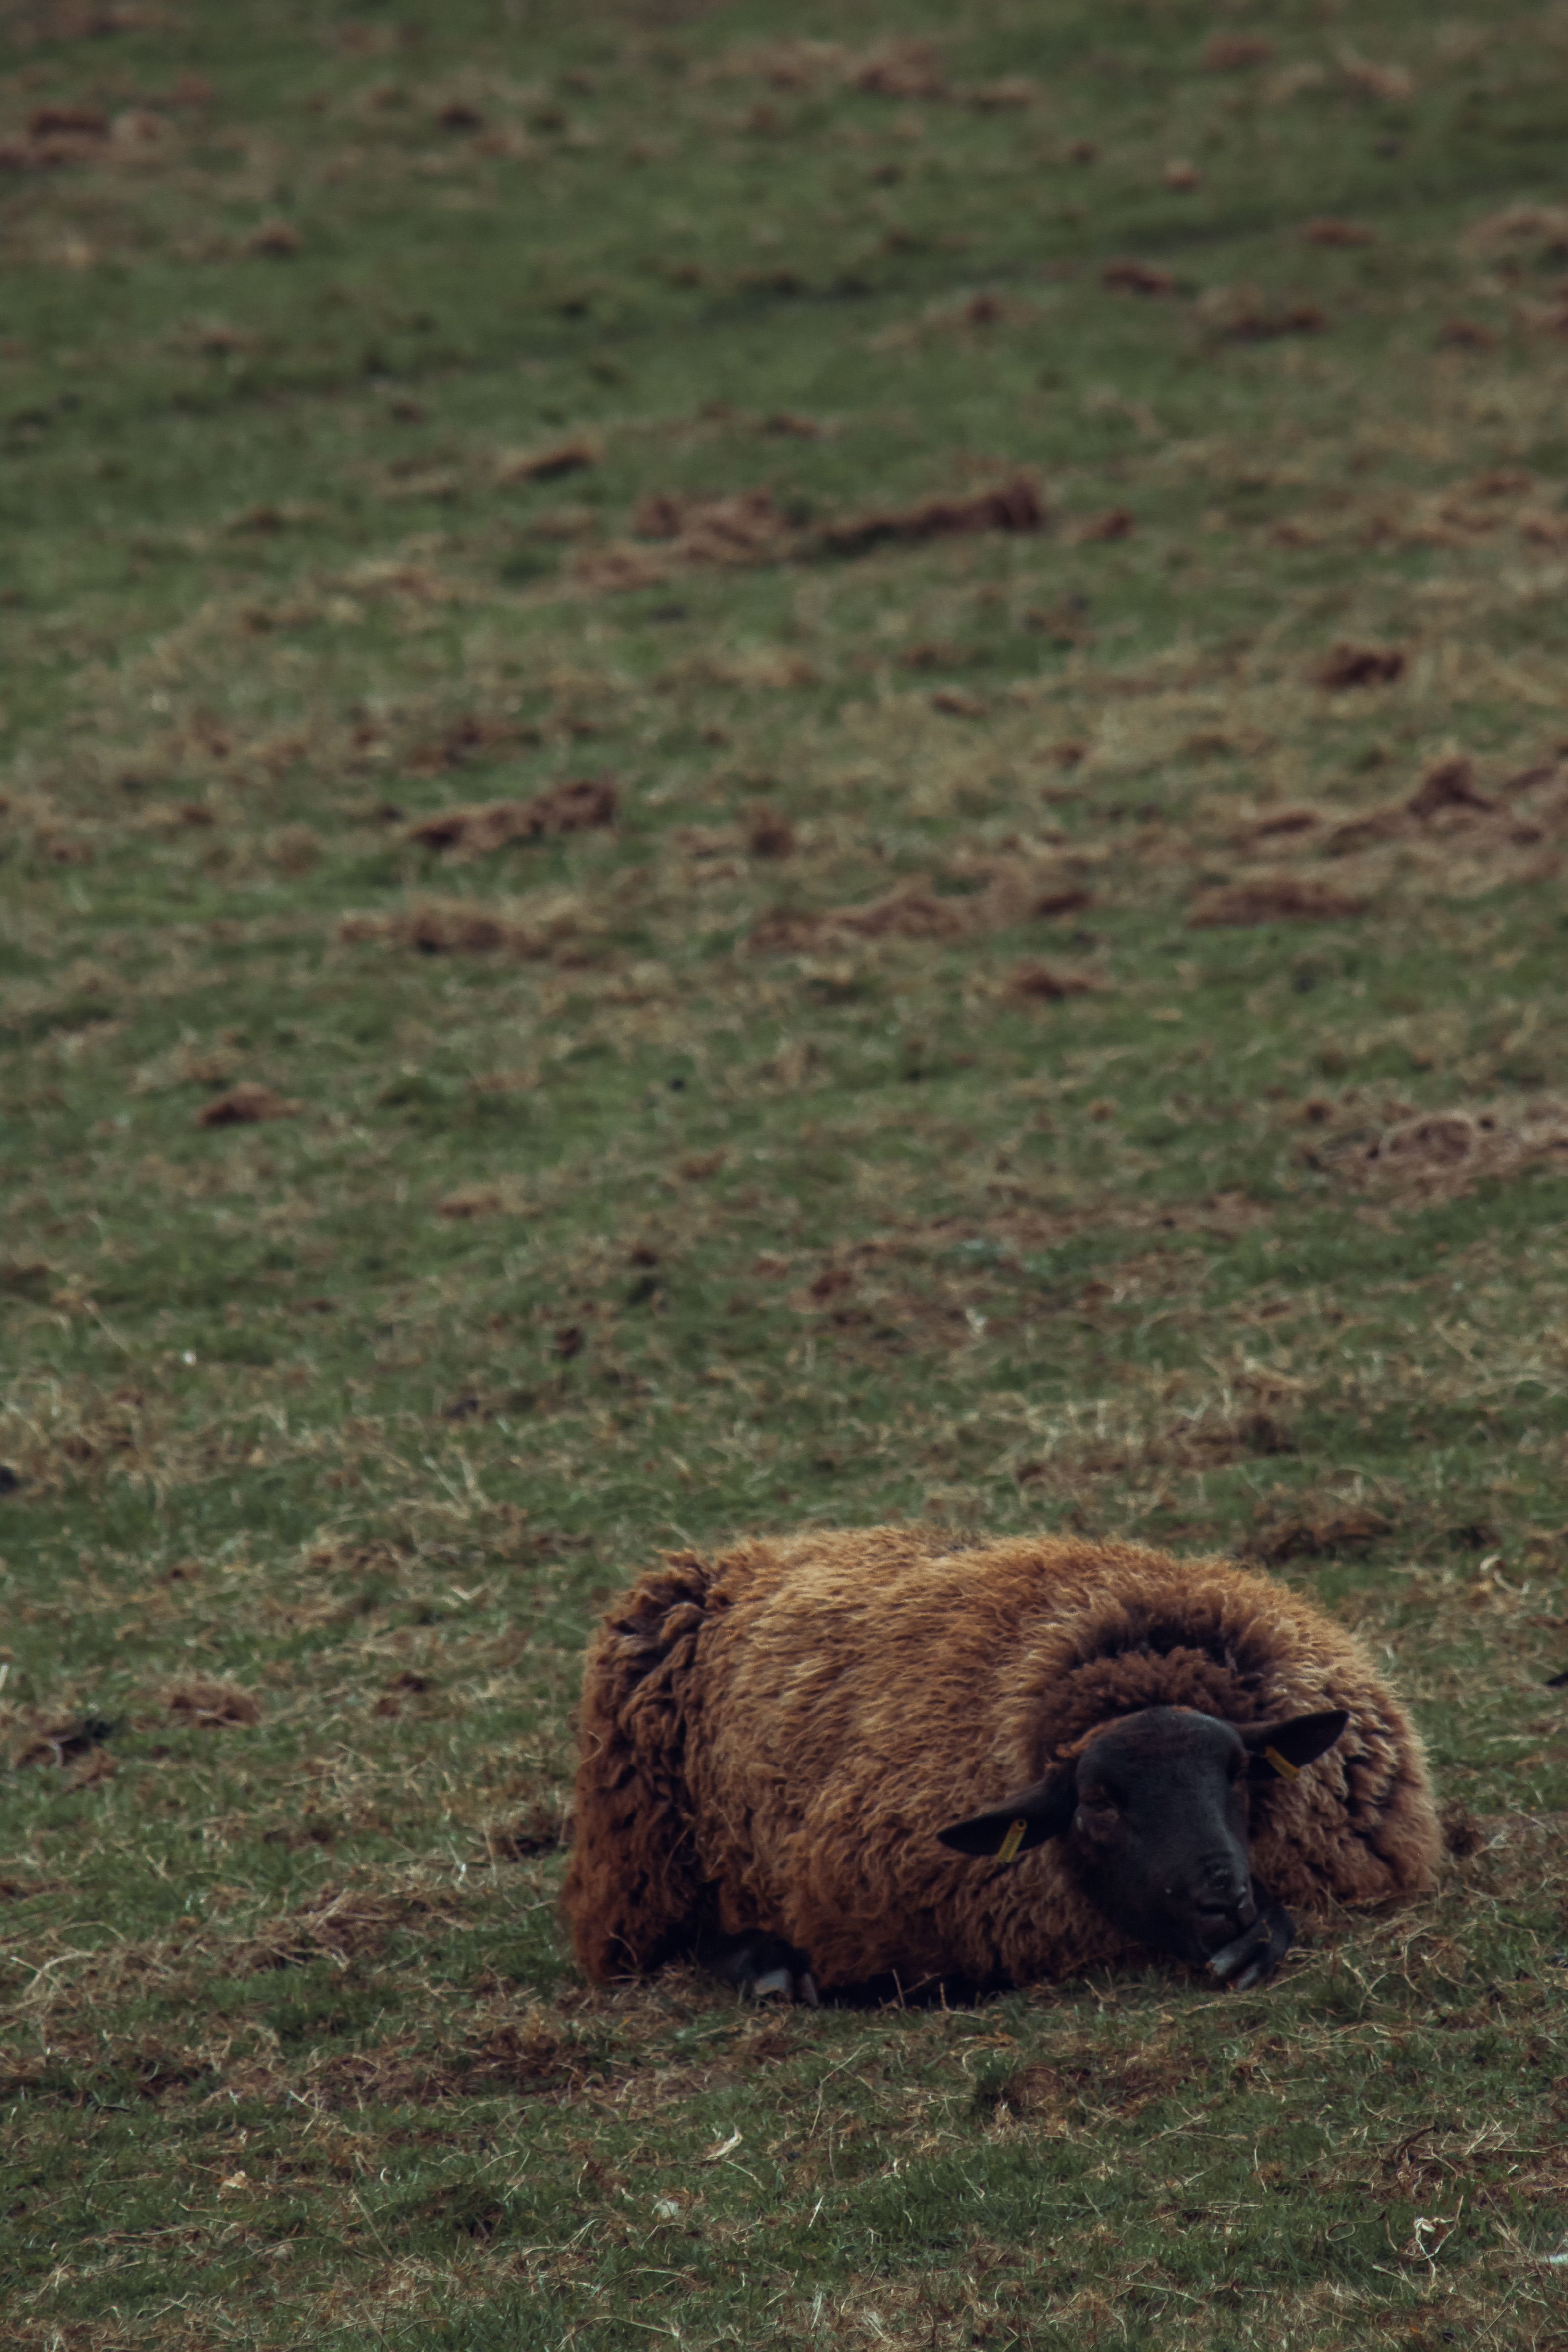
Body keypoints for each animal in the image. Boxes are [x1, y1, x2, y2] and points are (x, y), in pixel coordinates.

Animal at [562, 1527, 1440, 1998]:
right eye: (1098, 1803)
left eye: (1238, 1772)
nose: (1222, 1900)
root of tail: (734, 1561)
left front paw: (1258, 1938)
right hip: (641, 1866)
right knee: (671, 1943)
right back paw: (768, 1969)